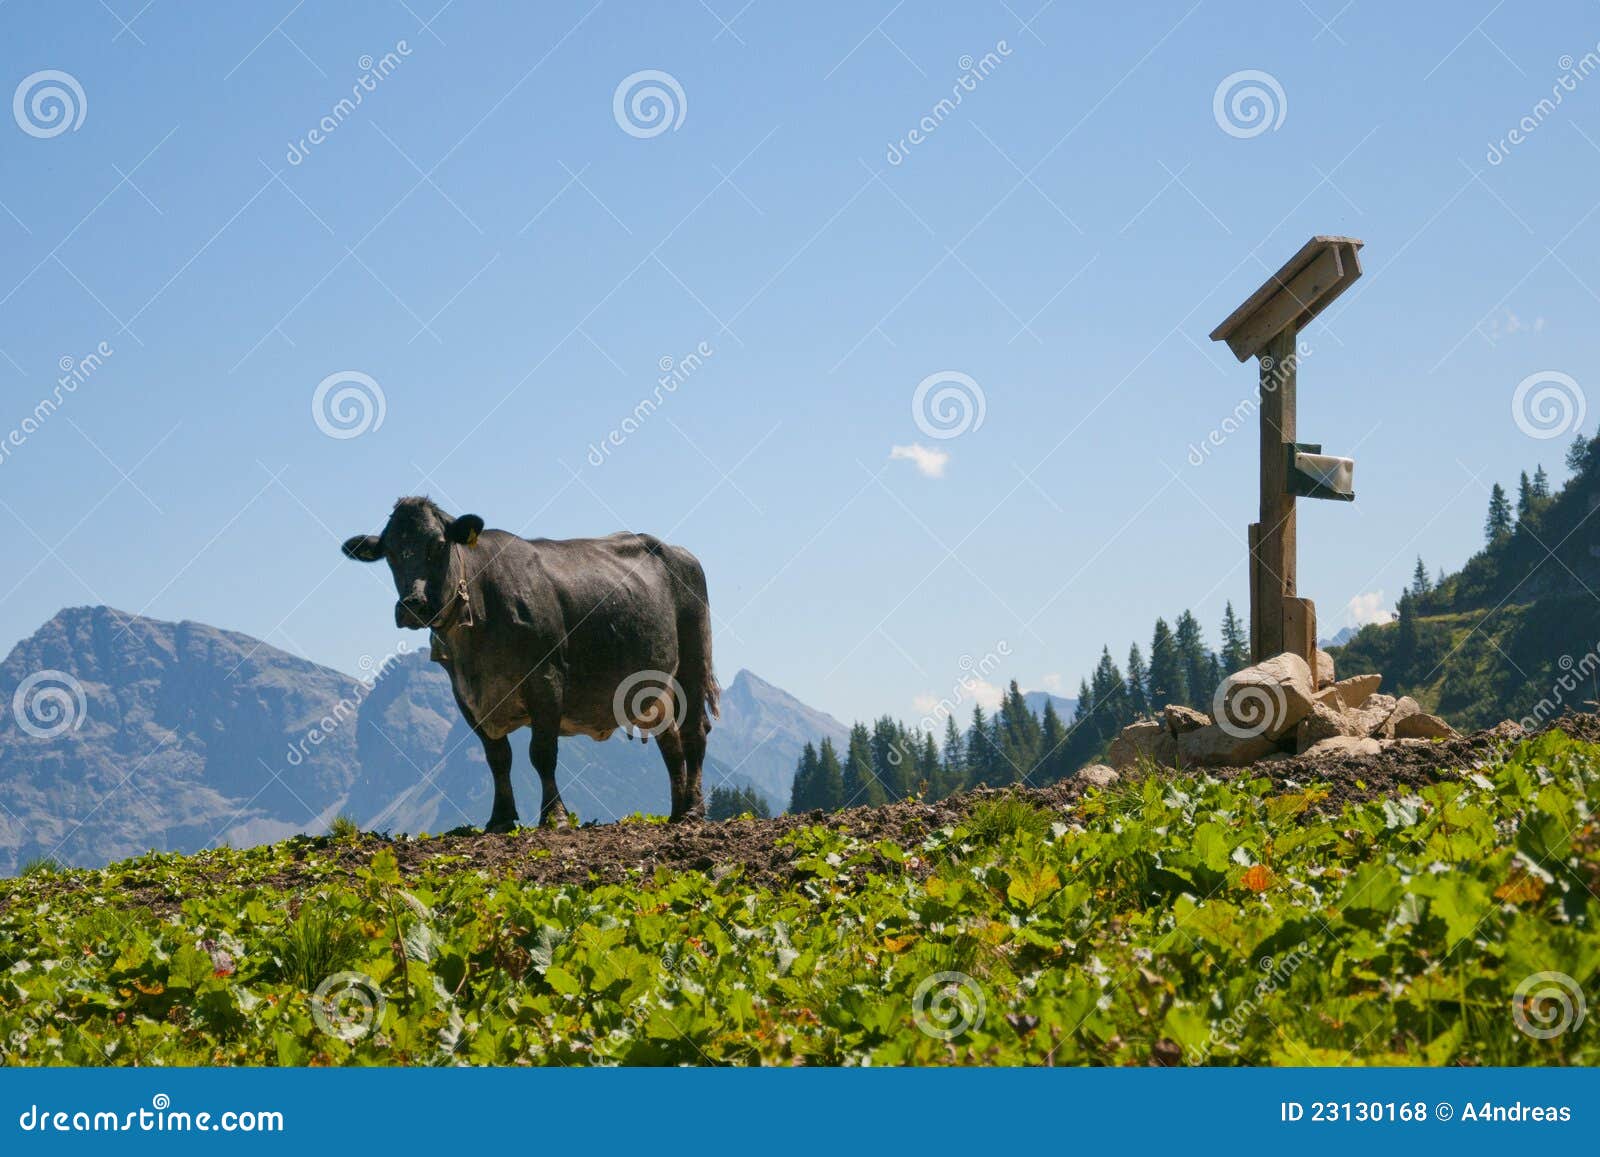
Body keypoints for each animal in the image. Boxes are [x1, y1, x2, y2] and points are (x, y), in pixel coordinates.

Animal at [341, 497, 718, 830]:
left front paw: (555, 816)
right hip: (654, 686)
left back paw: (693, 811)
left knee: (694, 732)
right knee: (669, 741)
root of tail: (677, 551)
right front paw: (501, 817)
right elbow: (497, 757)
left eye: (438, 545)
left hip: (693, 661)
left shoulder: (546, 677)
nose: (412, 605)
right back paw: (676, 811)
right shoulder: (463, 694)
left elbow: (542, 752)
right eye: (389, 553)